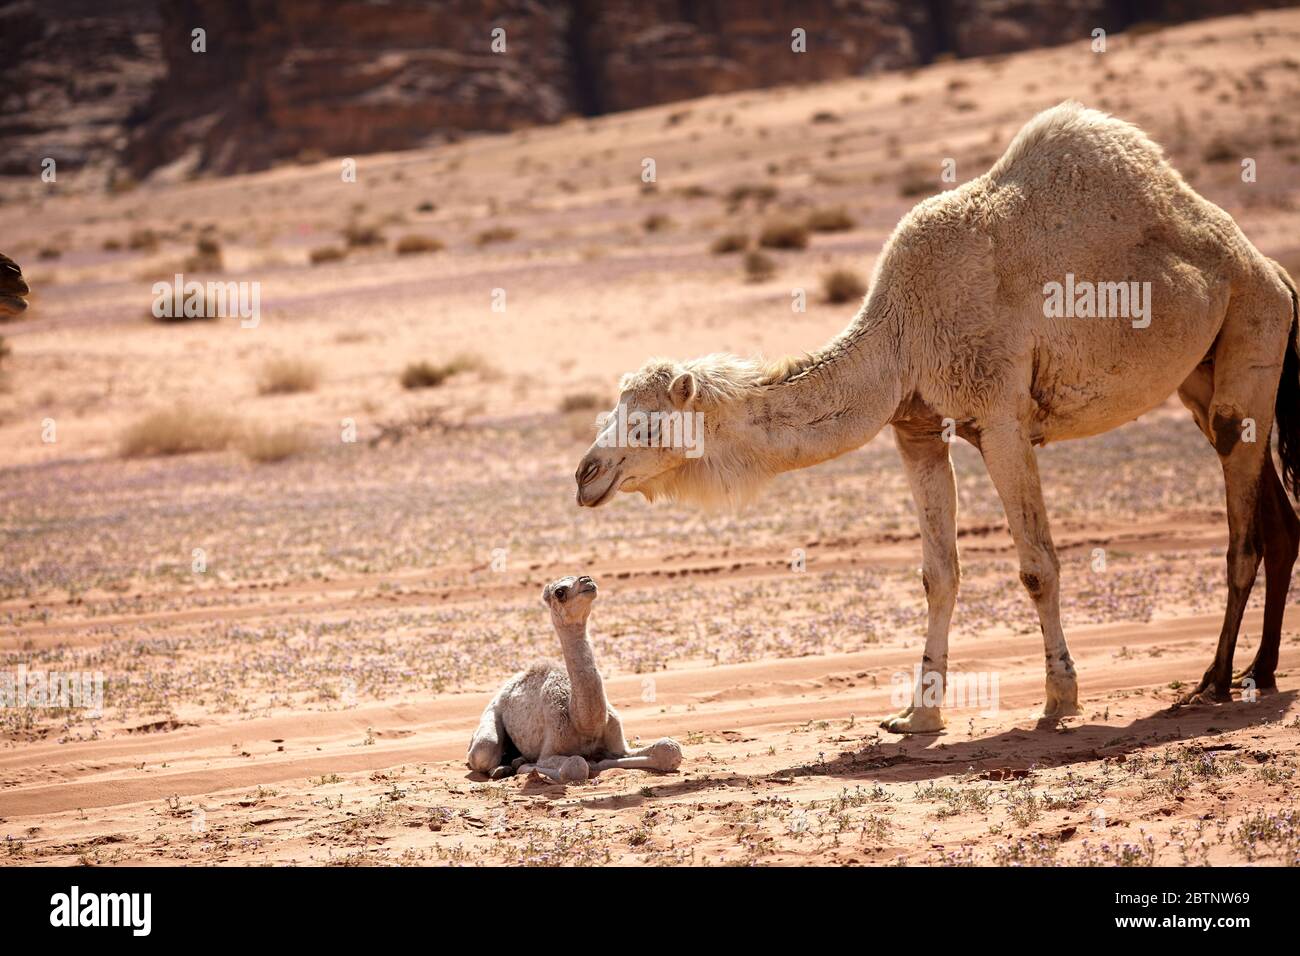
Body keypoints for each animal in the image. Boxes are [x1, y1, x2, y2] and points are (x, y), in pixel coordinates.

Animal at [466, 575, 683, 782]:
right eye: (559, 592)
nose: (587, 580)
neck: (584, 724)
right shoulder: (549, 749)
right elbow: (576, 765)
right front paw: (526, 767)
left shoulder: (619, 744)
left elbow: (669, 749)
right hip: (491, 717)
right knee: (482, 753)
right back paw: (503, 768)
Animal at [573, 102, 1300, 733]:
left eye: (645, 426)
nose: (585, 475)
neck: (902, 330)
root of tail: (1272, 268)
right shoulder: (917, 429)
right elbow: (937, 573)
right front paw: (915, 716)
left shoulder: (1001, 419)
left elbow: (1037, 565)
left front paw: (1059, 700)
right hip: (1204, 375)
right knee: (1275, 517)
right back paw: (1260, 673)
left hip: (1250, 326)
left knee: (1243, 533)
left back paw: (1213, 681)